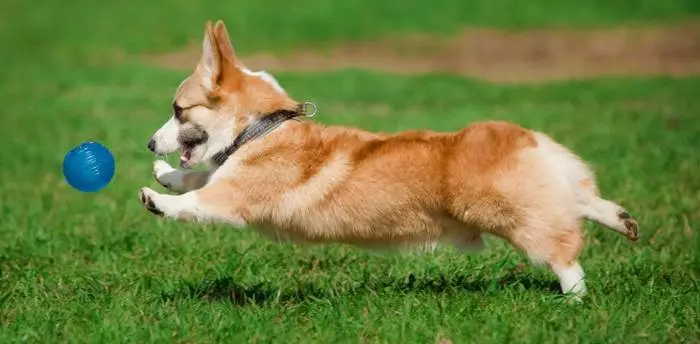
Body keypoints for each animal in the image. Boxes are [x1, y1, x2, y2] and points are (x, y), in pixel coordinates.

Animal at [142, 20, 640, 298]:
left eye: (178, 110)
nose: (148, 144)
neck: (260, 129)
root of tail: (523, 137)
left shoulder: (235, 199)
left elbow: (198, 200)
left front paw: (156, 197)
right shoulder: (225, 174)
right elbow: (200, 176)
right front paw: (166, 175)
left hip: (509, 213)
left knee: (562, 249)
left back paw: (574, 299)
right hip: (539, 193)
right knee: (582, 201)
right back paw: (621, 220)